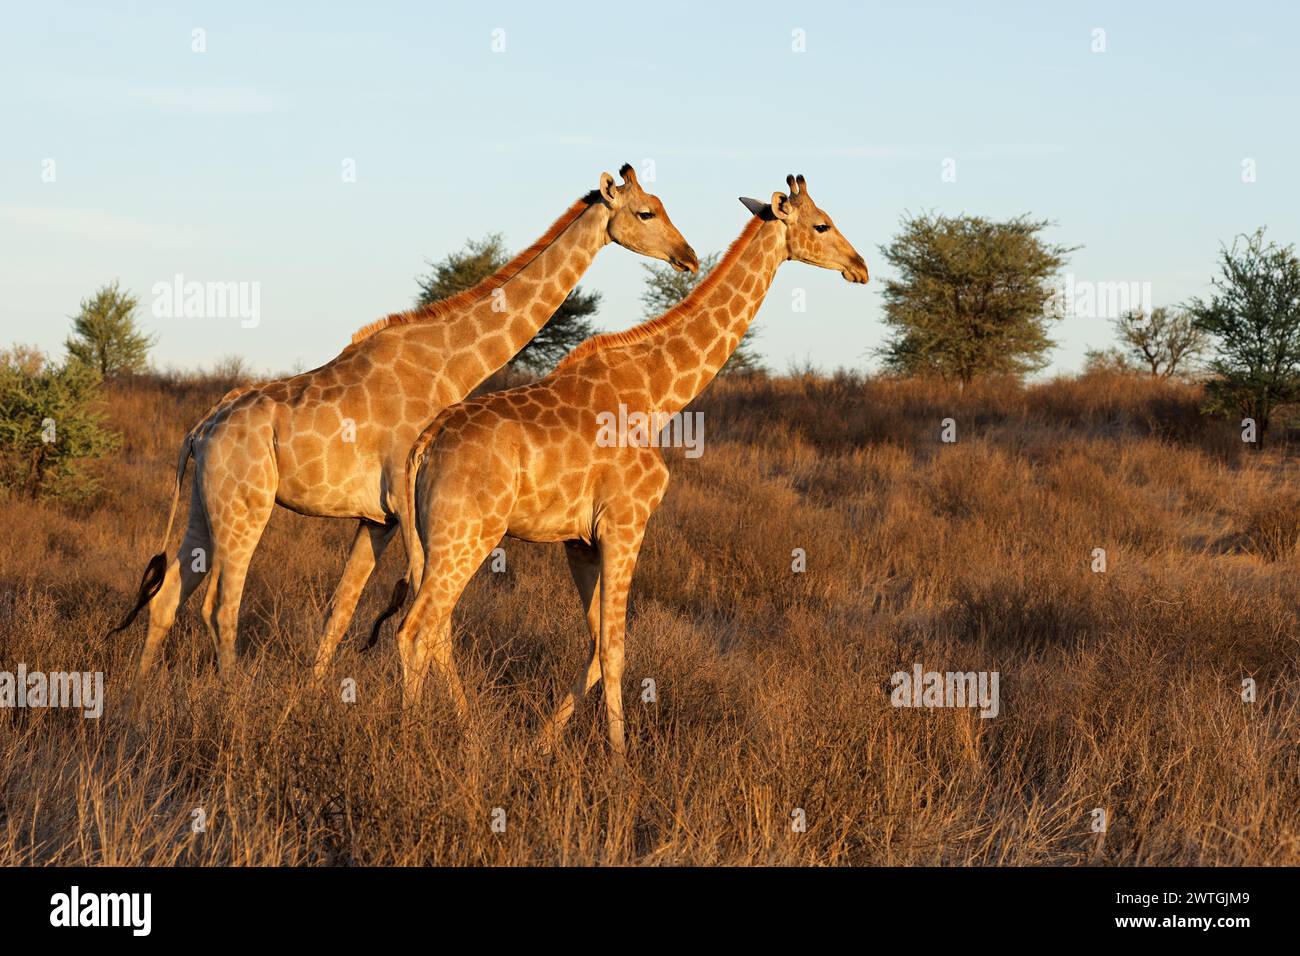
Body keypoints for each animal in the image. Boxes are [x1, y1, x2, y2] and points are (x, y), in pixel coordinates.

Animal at [110, 166, 698, 695]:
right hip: (244, 505)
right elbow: (429, 616)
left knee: (168, 596)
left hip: (204, 505)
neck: (450, 362)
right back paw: (232, 706)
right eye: (646, 212)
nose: (688, 257)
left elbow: (341, 608)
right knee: (220, 606)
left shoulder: (379, 517)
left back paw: (136, 703)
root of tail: (200, 430)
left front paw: (312, 701)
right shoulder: (409, 502)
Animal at [389, 174, 867, 758]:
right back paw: (411, 744)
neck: (657, 395)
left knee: (435, 628)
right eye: (822, 224)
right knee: (415, 630)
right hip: (467, 534)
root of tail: (425, 441)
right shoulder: (626, 521)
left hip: (430, 539)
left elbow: (596, 644)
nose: (860, 266)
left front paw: (540, 745)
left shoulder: (579, 541)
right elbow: (615, 648)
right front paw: (620, 759)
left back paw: (467, 731)